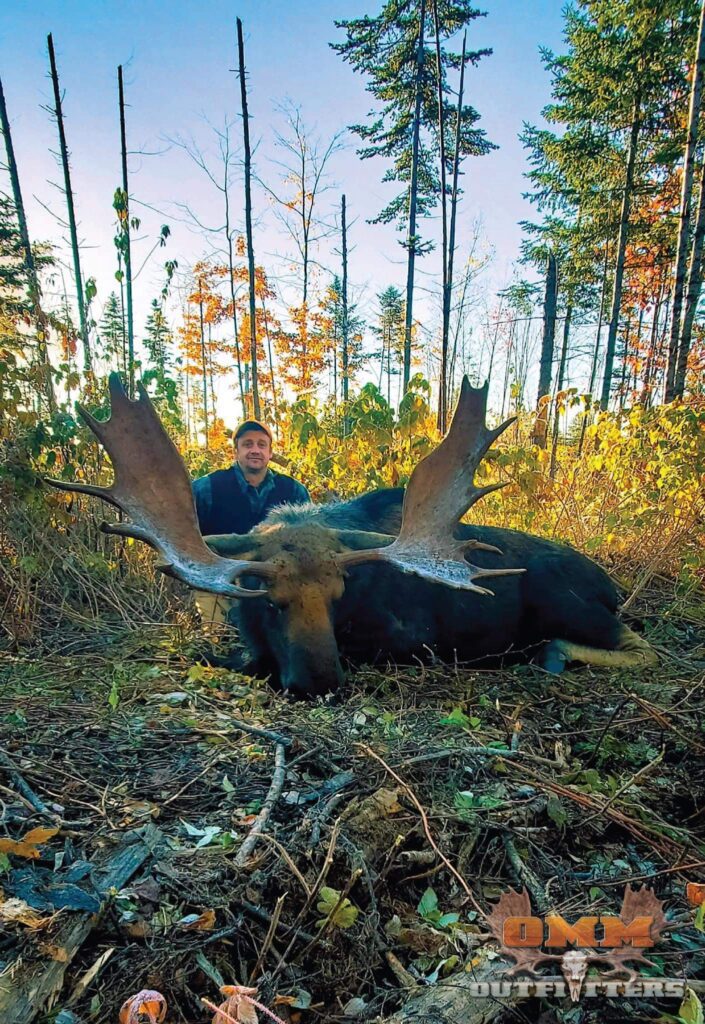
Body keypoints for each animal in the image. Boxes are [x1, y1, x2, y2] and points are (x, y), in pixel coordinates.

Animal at [48, 373, 657, 696]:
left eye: (339, 597)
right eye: (269, 601)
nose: (320, 682)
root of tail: (611, 584)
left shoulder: (412, 639)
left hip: (563, 600)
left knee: (640, 646)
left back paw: (550, 653)